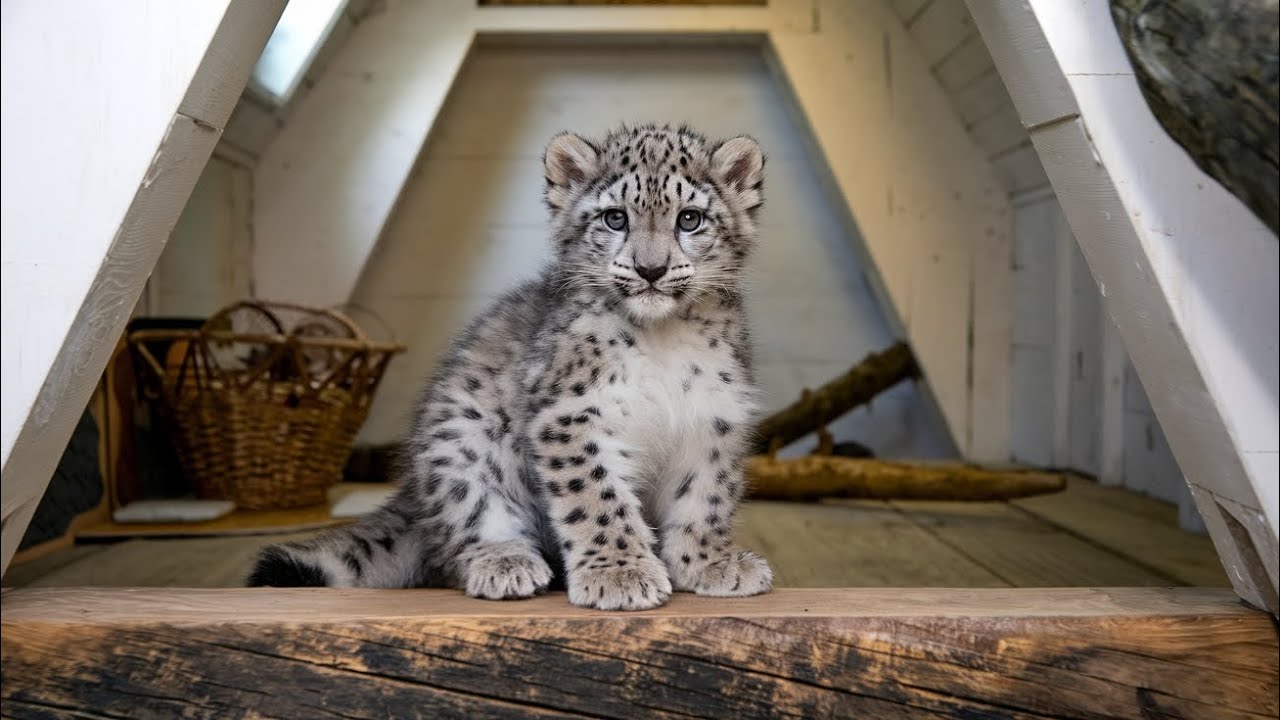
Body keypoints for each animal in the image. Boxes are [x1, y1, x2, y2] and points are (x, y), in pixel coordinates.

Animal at [248, 123, 773, 610]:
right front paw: (619, 573)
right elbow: (598, 497)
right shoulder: (571, 414)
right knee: (459, 538)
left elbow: (704, 498)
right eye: (615, 218)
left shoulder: (713, 417)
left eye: (690, 219)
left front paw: (708, 564)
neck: (661, 336)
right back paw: (506, 562)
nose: (650, 270)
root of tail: (411, 493)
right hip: (461, 442)